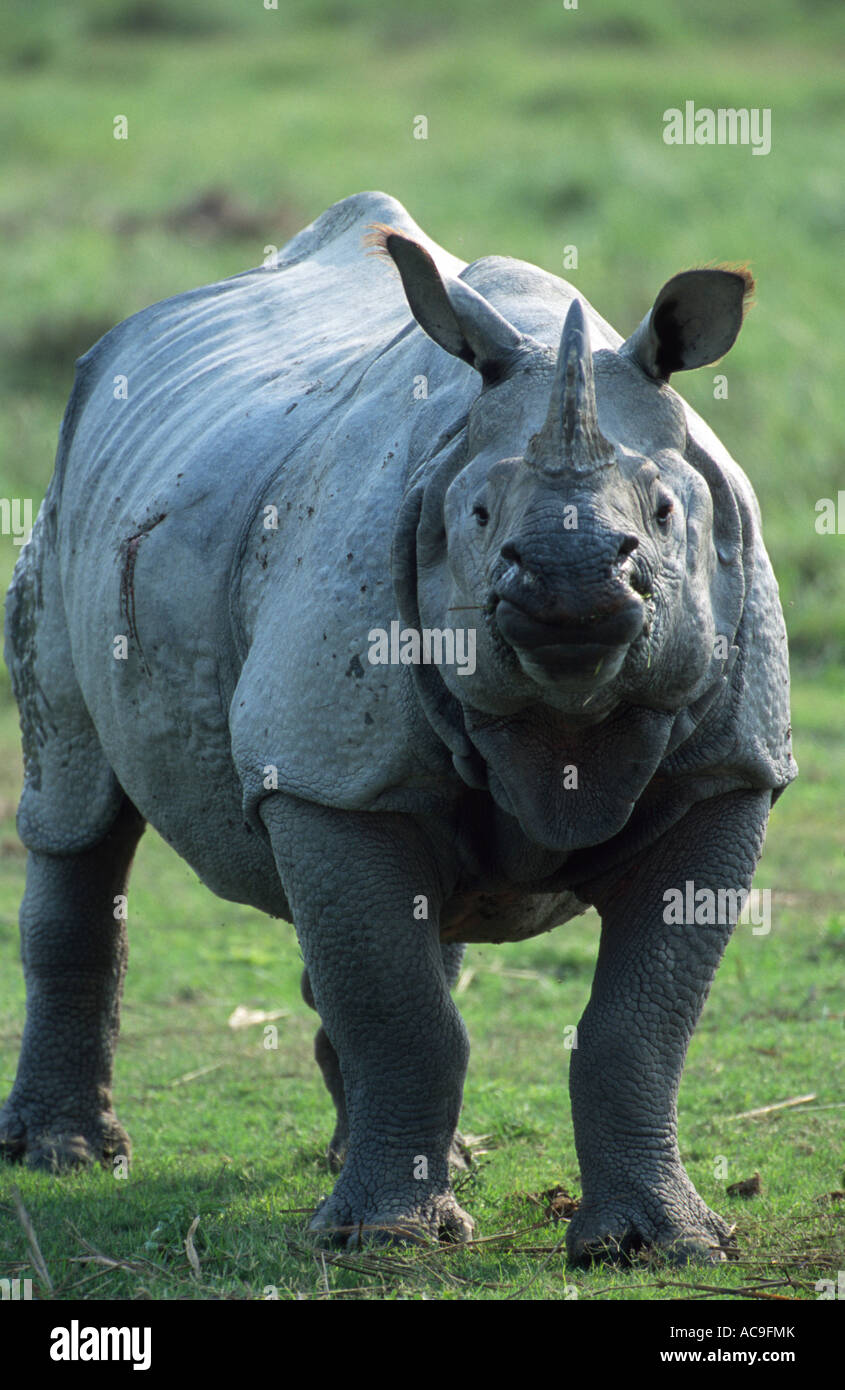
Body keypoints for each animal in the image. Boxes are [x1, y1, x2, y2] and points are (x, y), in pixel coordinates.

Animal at [1, 191, 795, 1263]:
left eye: (668, 512)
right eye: (477, 513)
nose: (570, 582)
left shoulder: (728, 768)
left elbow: (639, 1025)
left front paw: (661, 1245)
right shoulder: (331, 775)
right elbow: (400, 1006)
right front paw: (384, 1241)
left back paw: (416, 1161)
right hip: (63, 513)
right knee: (79, 809)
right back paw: (67, 1158)